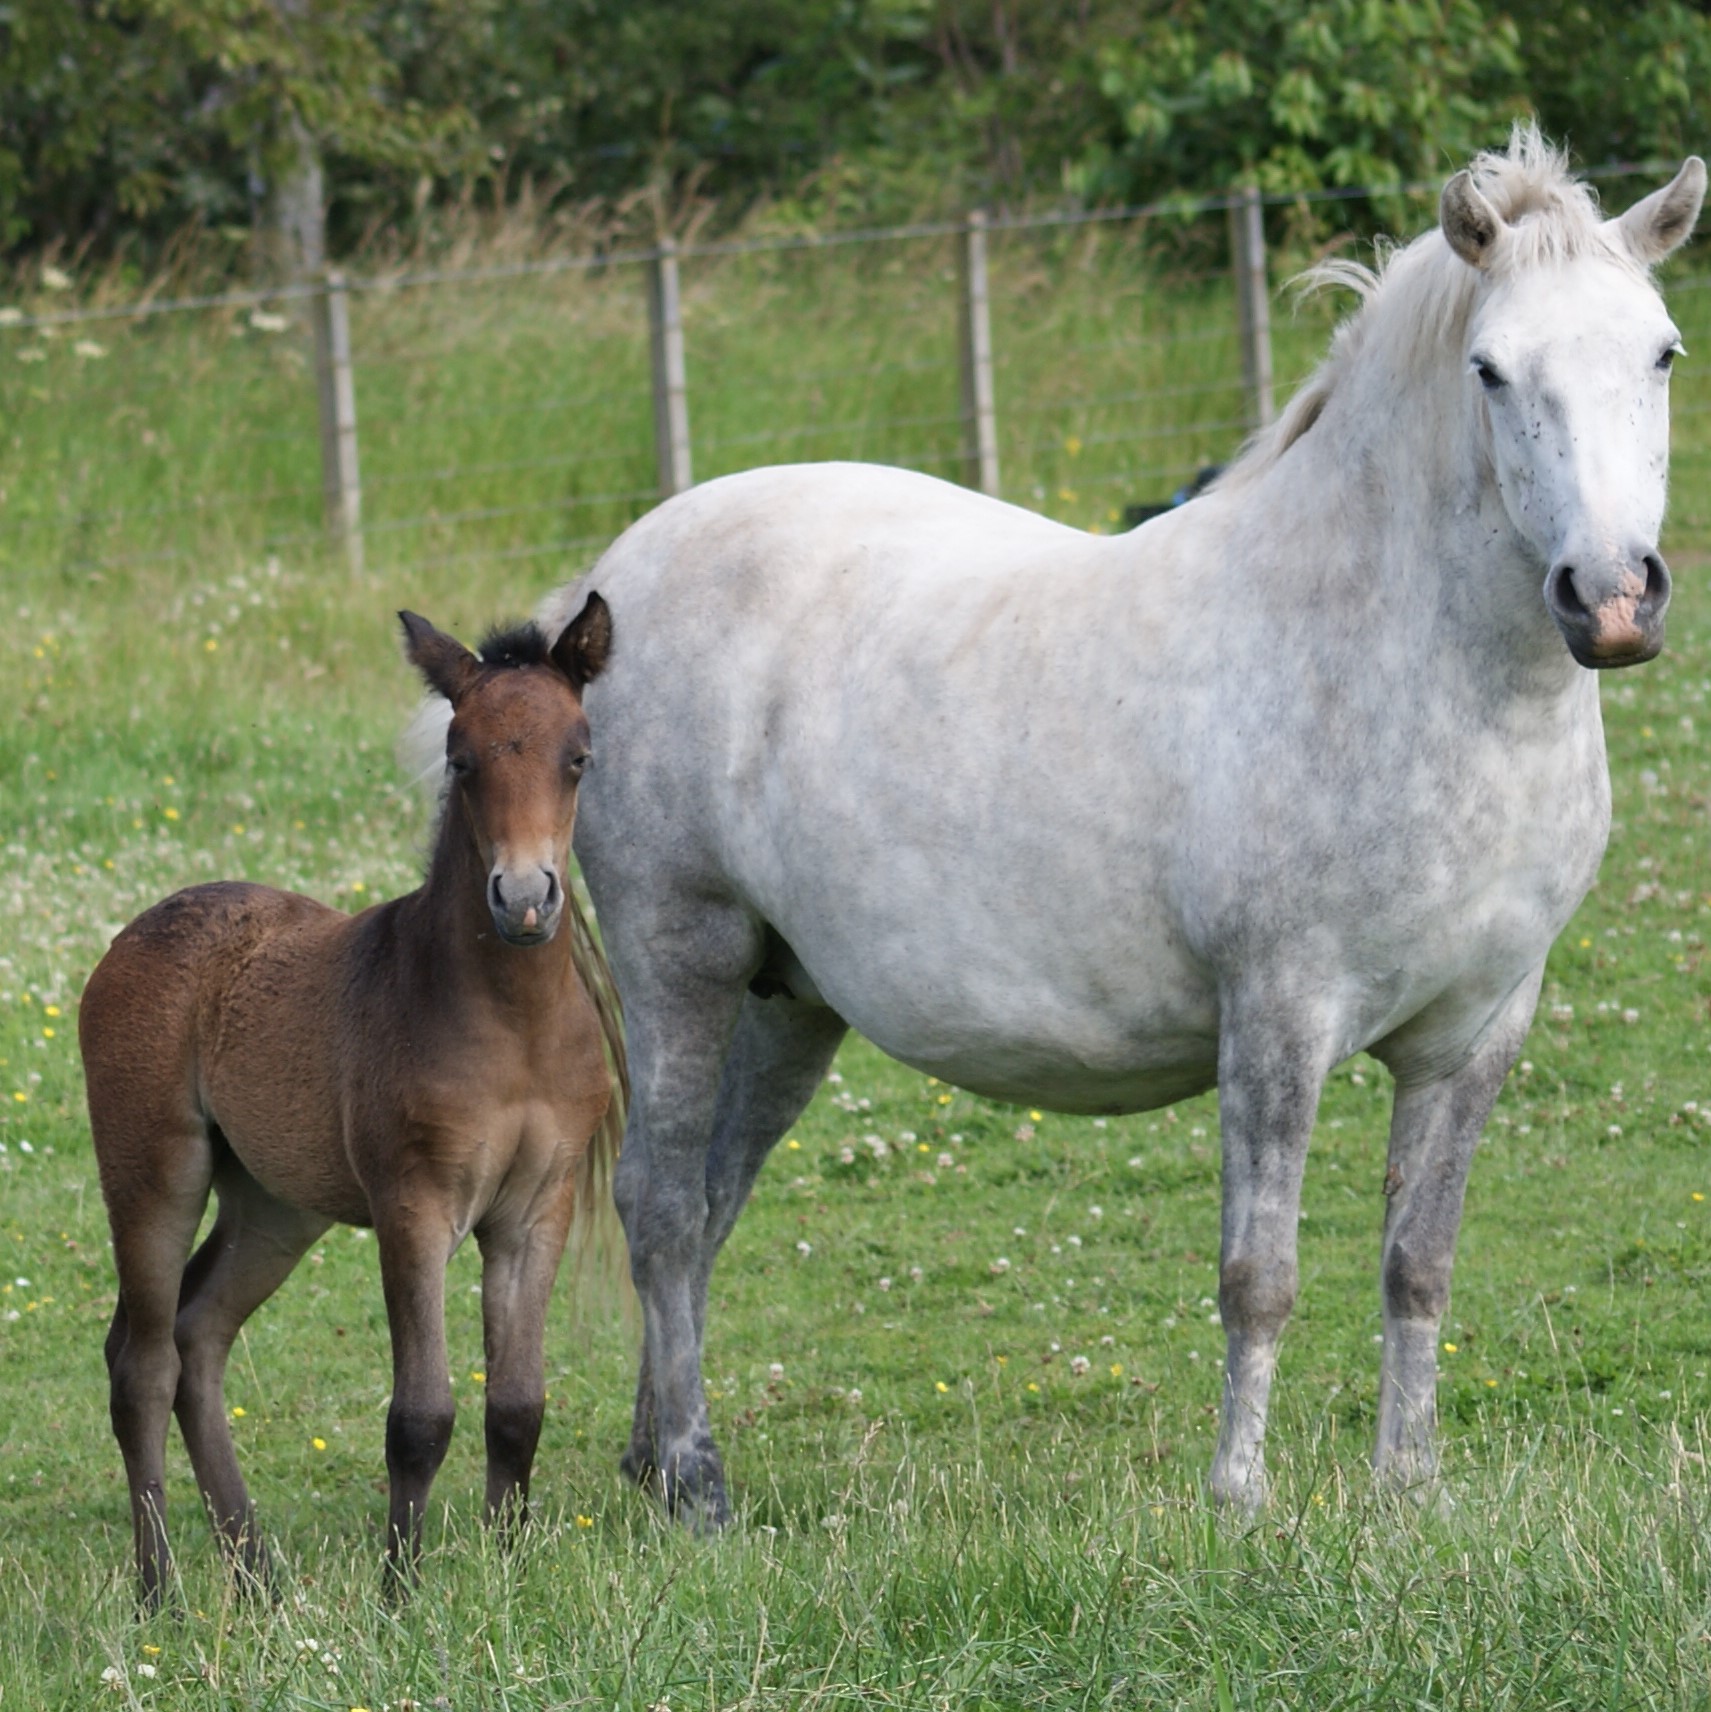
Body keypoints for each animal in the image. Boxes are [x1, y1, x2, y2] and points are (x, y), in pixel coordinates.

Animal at [79, 597, 621, 1607]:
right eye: (459, 758)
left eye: (578, 755)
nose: (525, 898)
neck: (515, 1027)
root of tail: (138, 931)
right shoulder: (415, 1204)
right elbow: (420, 1415)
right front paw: (399, 1595)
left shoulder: (538, 1210)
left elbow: (517, 1405)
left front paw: (509, 1576)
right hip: (153, 1172)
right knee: (142, 1360)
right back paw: (160, 1591)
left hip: (274, 1207)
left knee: (198, 1337)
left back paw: (255, 1573)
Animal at [537, 126, 1705, 1528]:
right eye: (1490, 369)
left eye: (1660, 351)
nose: (1613, 597)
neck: (1393, 658)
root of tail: (605, 585)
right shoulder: (1278, 1018)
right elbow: (1260, 1276)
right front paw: (1239, 1494)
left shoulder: (1473, 1034)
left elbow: (1416, 1264)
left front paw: (1407, 1487)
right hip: (683, 959)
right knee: (659, 1206)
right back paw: (698, 1482)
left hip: (785, 1003)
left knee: (707, 1203)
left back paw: (656, 1461)